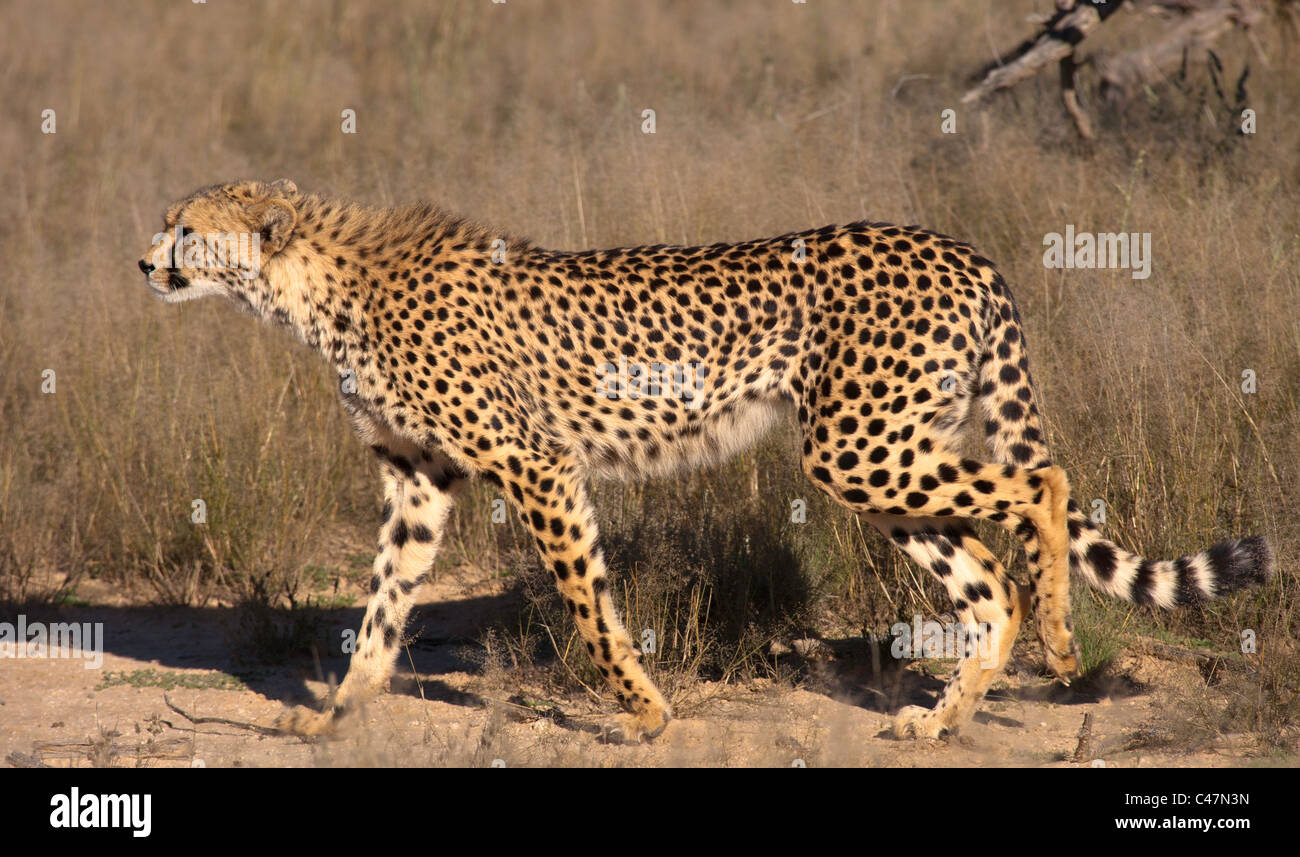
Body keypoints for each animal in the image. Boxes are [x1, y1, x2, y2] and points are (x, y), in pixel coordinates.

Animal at [138, 178, 1273, 742]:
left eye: (186, 228)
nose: (145, 261)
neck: (315, 287)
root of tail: (959, 245)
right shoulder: (419, 480)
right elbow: (381, 606)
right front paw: (335, 713)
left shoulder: (538, 466)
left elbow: (590, 610)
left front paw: (645, 711)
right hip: (884, 454)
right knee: (986, 581)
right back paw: (940, 720)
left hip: (855, 445)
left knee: (1041, 485)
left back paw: (1060, 640)